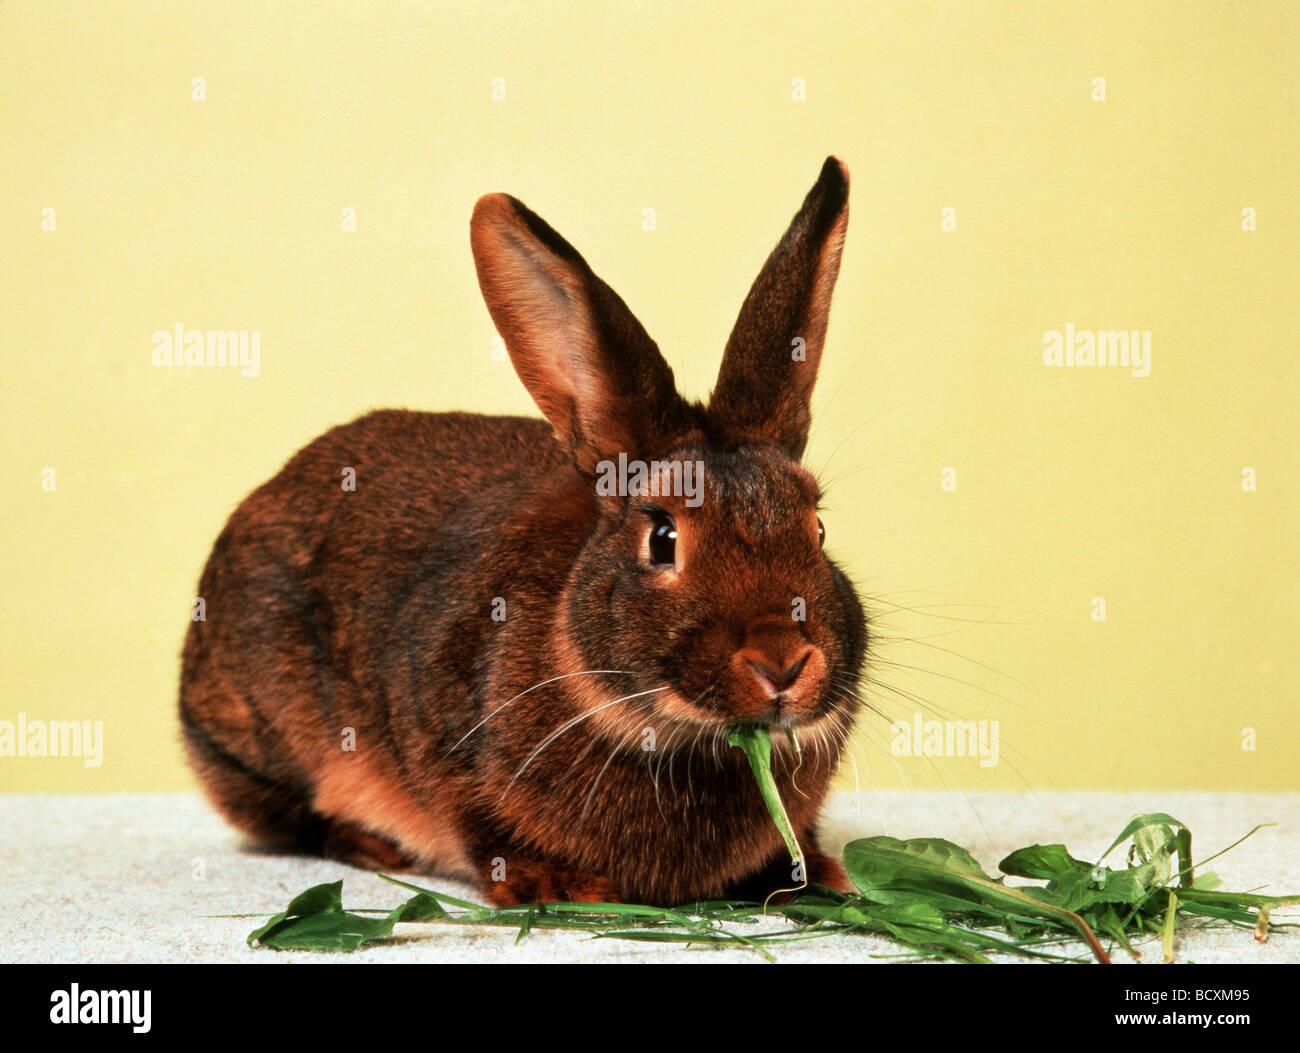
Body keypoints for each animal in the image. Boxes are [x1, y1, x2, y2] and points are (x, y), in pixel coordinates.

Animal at [179, 156, 867, 907]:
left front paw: (824, 875)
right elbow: (484, 832)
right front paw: (563, 887)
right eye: (662, 537)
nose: (783, 661)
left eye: (817, 527)